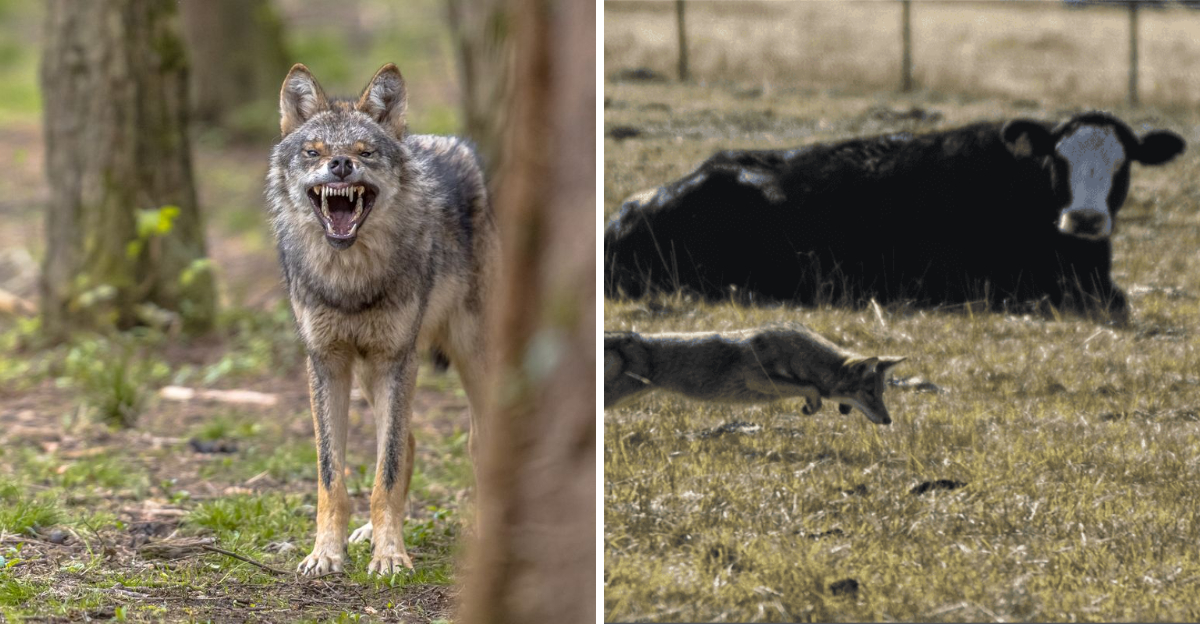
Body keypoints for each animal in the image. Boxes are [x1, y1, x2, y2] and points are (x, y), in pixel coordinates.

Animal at [266, 63, 497, 576]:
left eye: (365, 151)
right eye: (314, 152)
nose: (340, 165)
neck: (350, 279)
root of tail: (454, 143)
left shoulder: (397, 359)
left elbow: (384, 473)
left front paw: (391, 556)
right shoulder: (326, 362)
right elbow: (333, 475)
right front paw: (327, 553)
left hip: (468, 357)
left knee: (477, 441)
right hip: (372, 374)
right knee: (407, 444)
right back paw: (368, 533)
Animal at [603, 323, 905, 425]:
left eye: (880, 393)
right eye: (869, 393)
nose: (888, 421)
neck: (804, 355)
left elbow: (810, 389)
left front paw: (813, 407)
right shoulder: (758, 379)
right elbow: (810, 388)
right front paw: (812, 406)